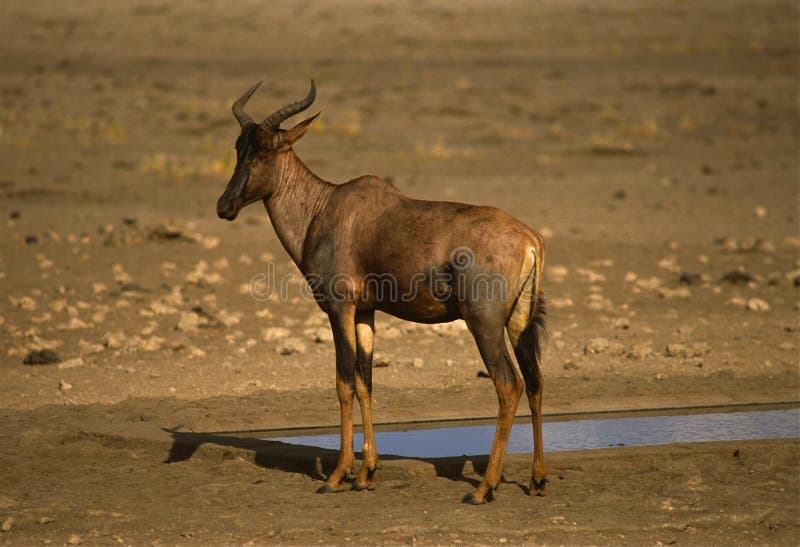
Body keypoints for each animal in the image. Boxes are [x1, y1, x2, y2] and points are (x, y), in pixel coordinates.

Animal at [216, 81, 547, 504]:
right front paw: (366, 473)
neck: (326, 207)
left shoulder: (338, 308)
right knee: (535, 381)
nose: (224, 206)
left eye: (265, 152)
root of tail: (530, 239)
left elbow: (343, 383)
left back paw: (483, 488)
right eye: (238, 148)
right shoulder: (365, 312)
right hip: (520, 321)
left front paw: (337, 476)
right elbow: (365, 382)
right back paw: (537, 480)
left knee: (509, 385)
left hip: (484, 324)